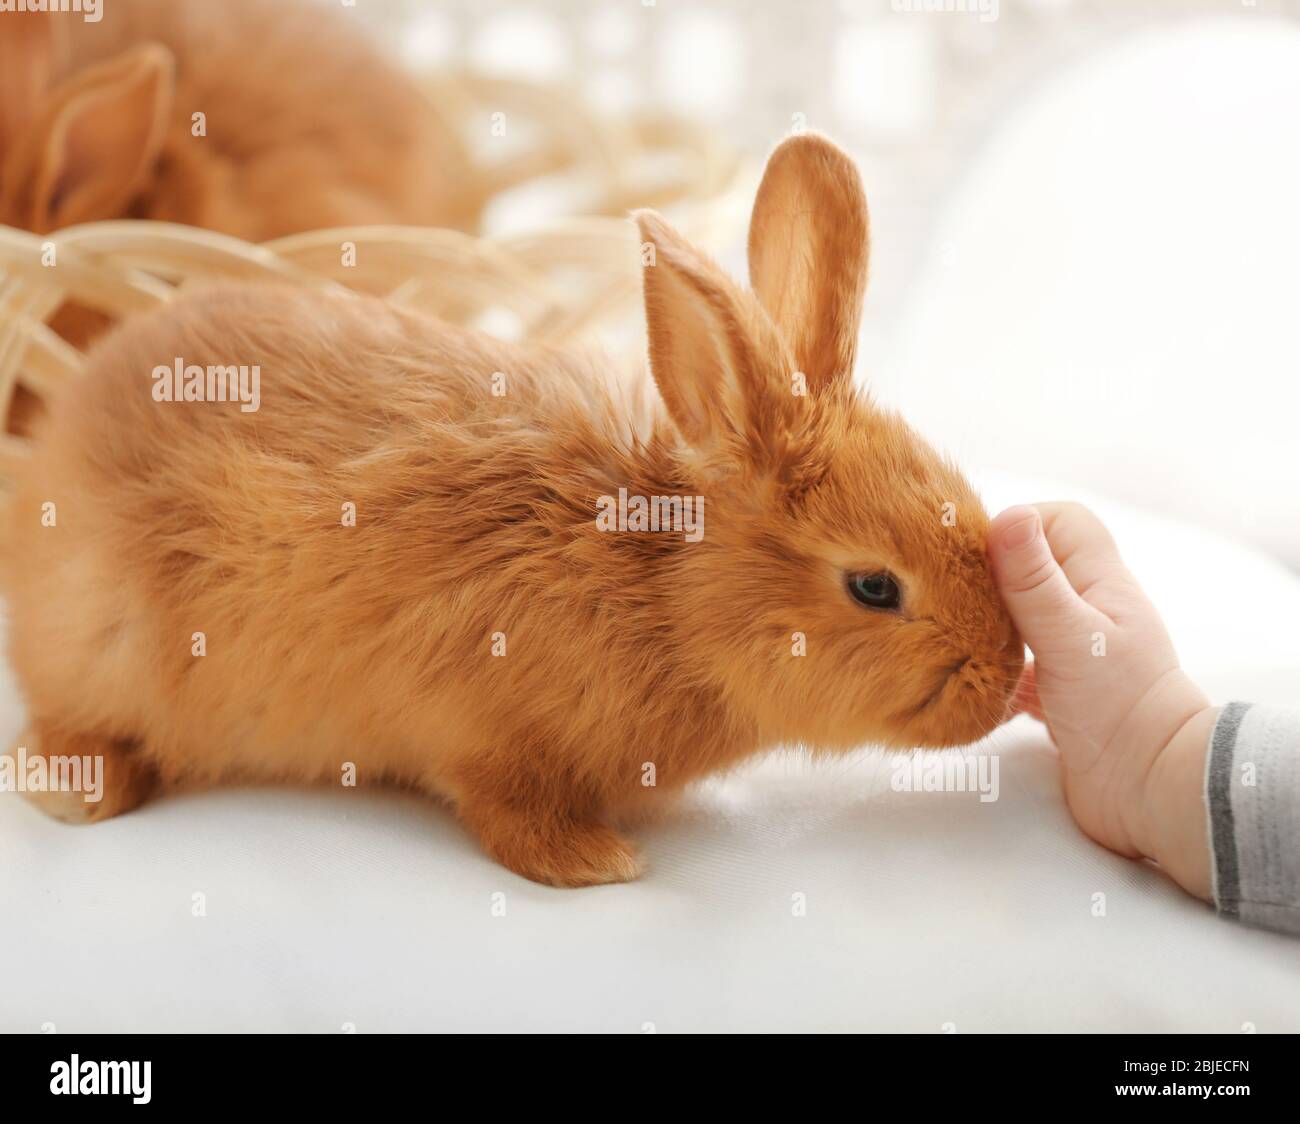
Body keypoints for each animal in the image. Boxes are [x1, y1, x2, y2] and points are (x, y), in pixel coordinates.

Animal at [0, 134, 1023, 887]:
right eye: (875, 587)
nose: (1010, 677)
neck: (665, 586)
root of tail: (51, 455)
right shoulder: (488, 739)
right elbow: (509, 813)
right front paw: (599, 863)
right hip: (105, 649)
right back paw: (76, 794)